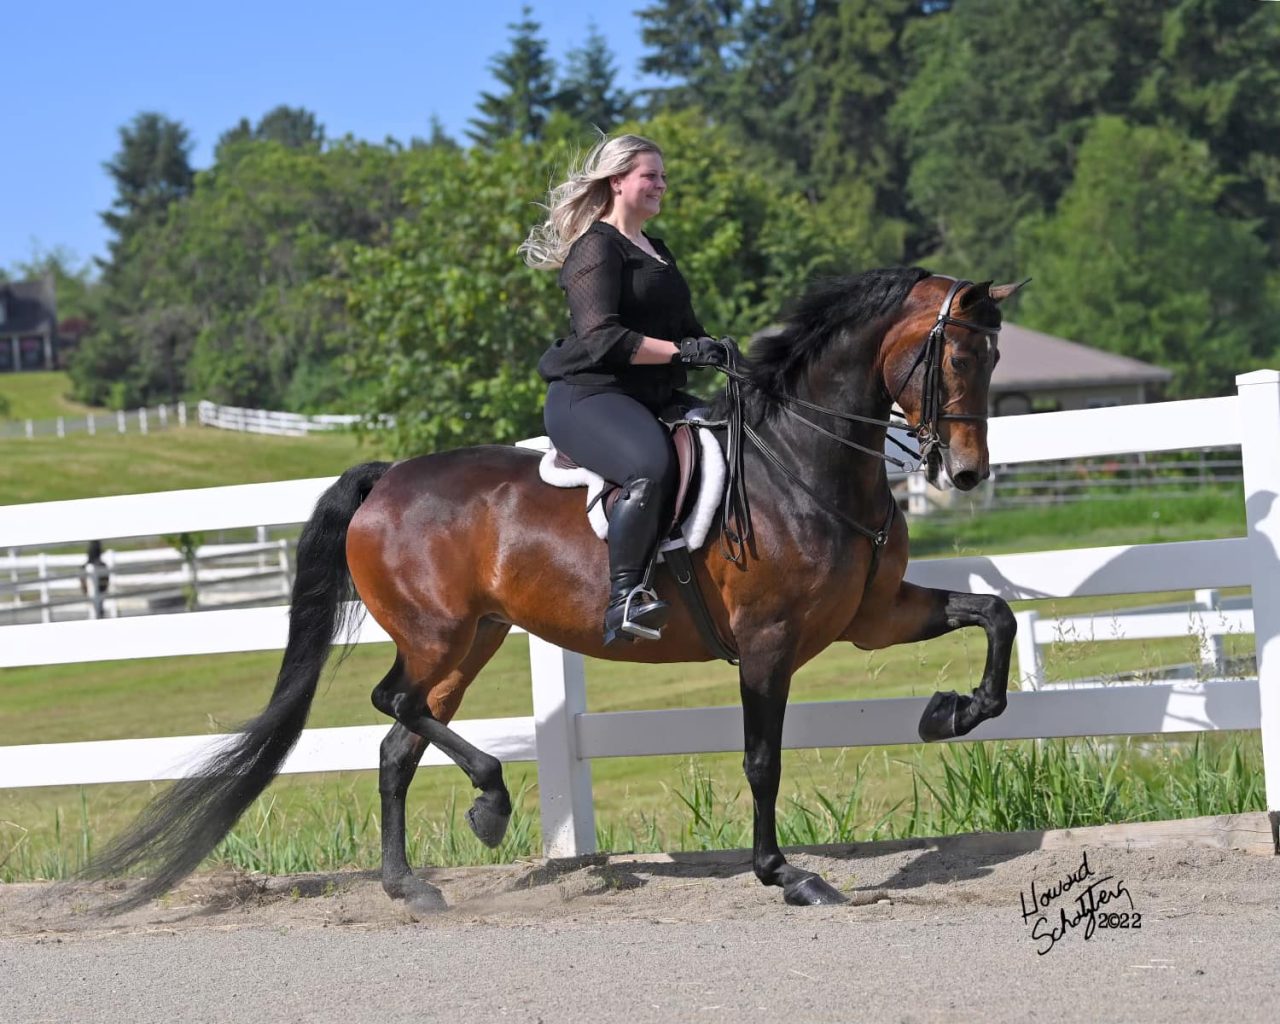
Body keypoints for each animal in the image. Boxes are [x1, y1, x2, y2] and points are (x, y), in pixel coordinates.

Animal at [83, 267, 1024, 912]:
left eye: (994, 354)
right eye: (954, 353)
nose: (968, 474)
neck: (804, 462)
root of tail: (388, 479)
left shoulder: (871, 617)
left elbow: (996, 615)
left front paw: (951, 714)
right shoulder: (768, 645)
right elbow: (763, 760)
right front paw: (785, 873)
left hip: (474, 639)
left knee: (396, 742)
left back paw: (408, 883)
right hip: (435, 633)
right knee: (396, 704)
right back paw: (490, 804)